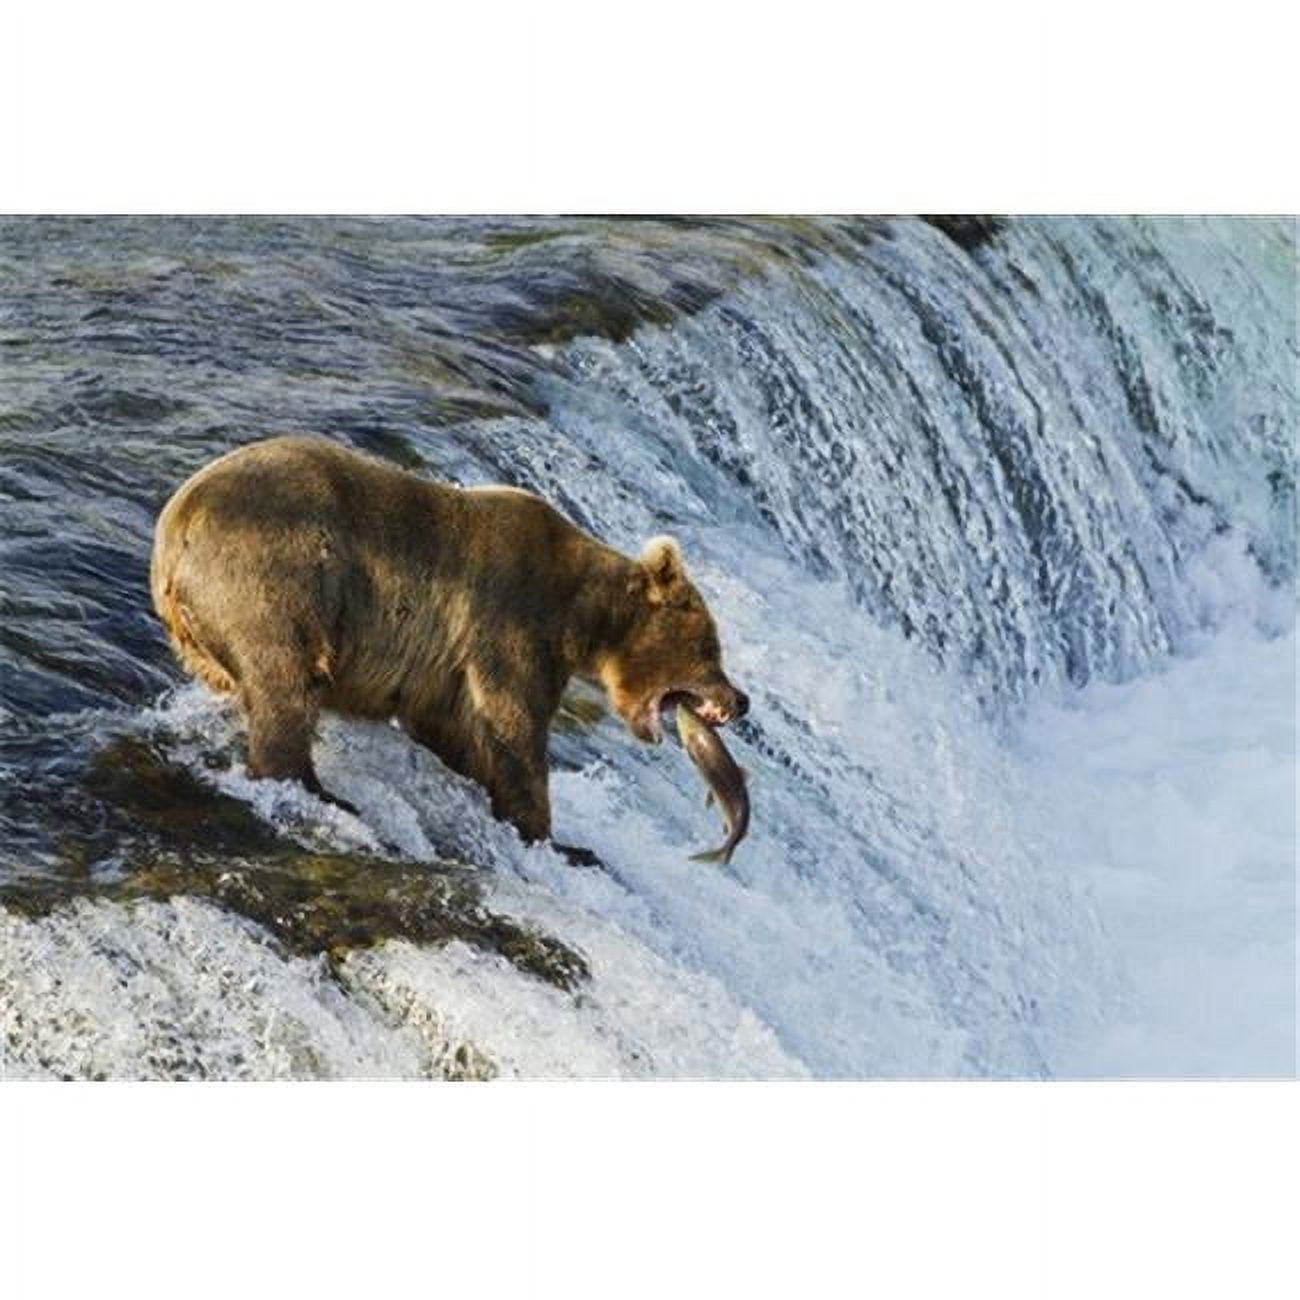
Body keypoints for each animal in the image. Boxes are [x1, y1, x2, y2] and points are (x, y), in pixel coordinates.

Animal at [150, 435, 749, 858]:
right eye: (711, 647)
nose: (739, 700)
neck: (579, 614)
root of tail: (176, 529)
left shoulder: (443, 669)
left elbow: (454, 728)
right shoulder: (509, 620)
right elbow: (512, 727)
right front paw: (558, 840)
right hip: (277, 574)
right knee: (287, 683)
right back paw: (317, 789)